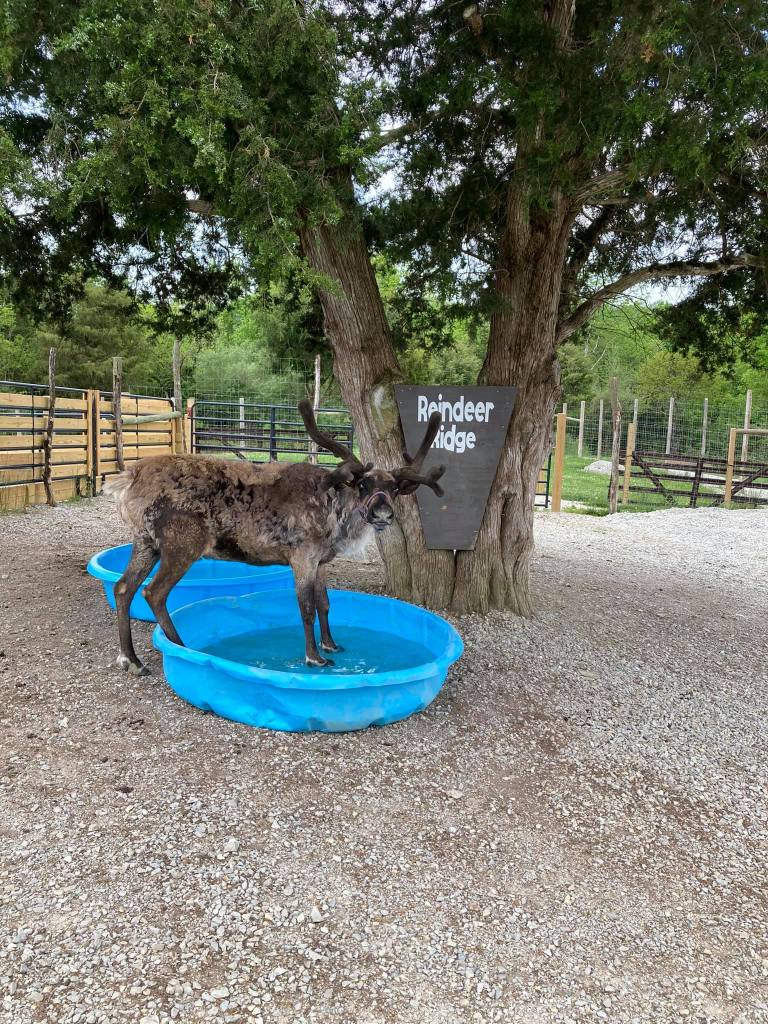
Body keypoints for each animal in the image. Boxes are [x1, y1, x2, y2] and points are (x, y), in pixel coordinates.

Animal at [104, 400, 445, 673]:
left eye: (394, 488)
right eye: (363, 485)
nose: (383, 514)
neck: (335, 518)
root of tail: (128, 479)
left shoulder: (321, 562)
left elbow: (325, 604)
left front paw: (332, 645)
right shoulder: (302, 557)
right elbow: (306, 608)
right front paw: (315, 658)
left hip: (145, 542)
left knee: (123, 588)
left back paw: (131, 659)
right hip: (182, 544)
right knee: (154, 592)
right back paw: (182, 648)